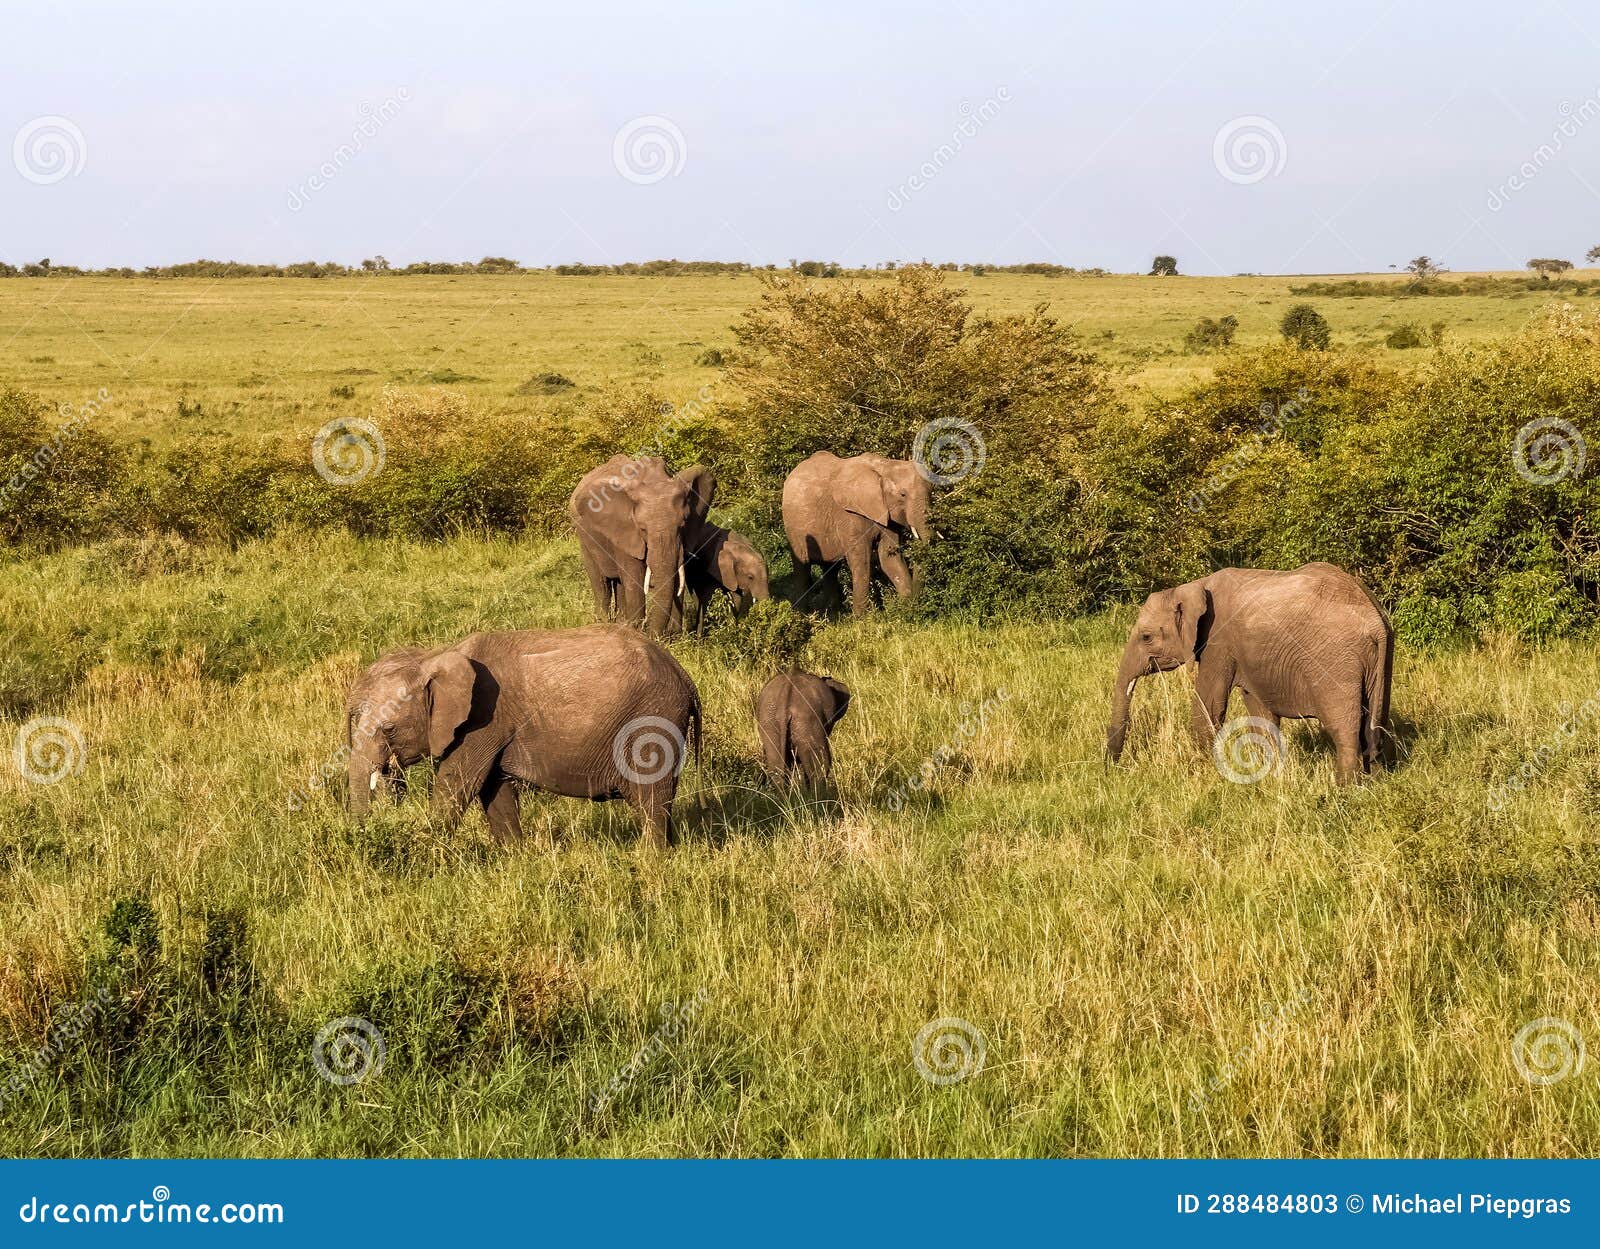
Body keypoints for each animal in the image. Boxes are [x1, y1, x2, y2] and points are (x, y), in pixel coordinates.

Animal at [344, 625, 701, 849]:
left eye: (389, 729)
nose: (390, 776)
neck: (434, 657)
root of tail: (684, 675)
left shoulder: (483, 720)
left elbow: (456, 784)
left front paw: (428, 849)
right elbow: (494, 789)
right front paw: (514, 857)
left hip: (652, 720)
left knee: (651, 799)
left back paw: (651, 858)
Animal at [568, 455, 717, 637]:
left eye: (682, 525)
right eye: (643, 529)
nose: (657, 635)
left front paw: (674, 636)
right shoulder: (625, 533)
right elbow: (635, 581)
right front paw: (637, 633)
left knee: (619, 584)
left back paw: (620, 623)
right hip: (583, 538)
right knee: (601, 583)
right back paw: (604, 623)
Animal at [782, 451, 930, 616]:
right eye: (903, 495)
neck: (885, 466)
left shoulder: (887, 516)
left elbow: (889, 557)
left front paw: (905, 610)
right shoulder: (849, 515)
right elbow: (861, 562)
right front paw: (861, 619)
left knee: (830, 570)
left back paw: (834, 614)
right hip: (793, 527)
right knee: (803, 569)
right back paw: (801, 615)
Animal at [1105, 562, 1393, 784]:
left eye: (1146, 637)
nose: (1112, 769)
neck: (1192, 586)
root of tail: (1375, 622)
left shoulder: (1218, 641)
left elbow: (1209, 703)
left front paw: (1200, 771)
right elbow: (1259, 710)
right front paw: (1272, 774)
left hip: (1335, 660)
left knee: (1344, 728)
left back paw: (1344, 789)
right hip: (1383, 659)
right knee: (1374, 726)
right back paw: (1375, 782)